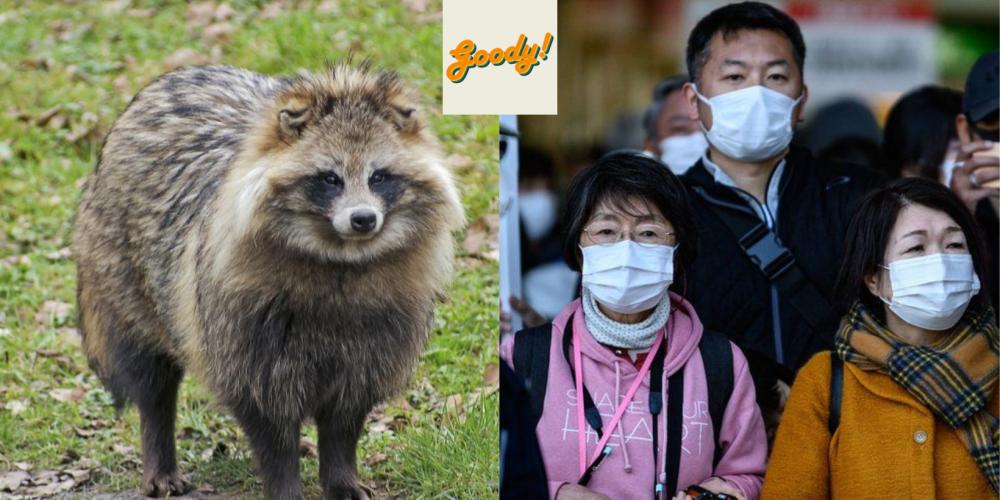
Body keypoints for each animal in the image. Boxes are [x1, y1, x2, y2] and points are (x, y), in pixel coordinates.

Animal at [72, 64, 464, 499]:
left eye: (379, 177)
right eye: (330, 179)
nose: (363, 219)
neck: (341, 258)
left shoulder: (378, 335)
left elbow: (344, 417)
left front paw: (341, 475)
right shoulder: (243, 327)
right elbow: (268, 420)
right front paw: (284, 482)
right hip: (124, 277)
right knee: (151, 378)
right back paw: (158, 445)